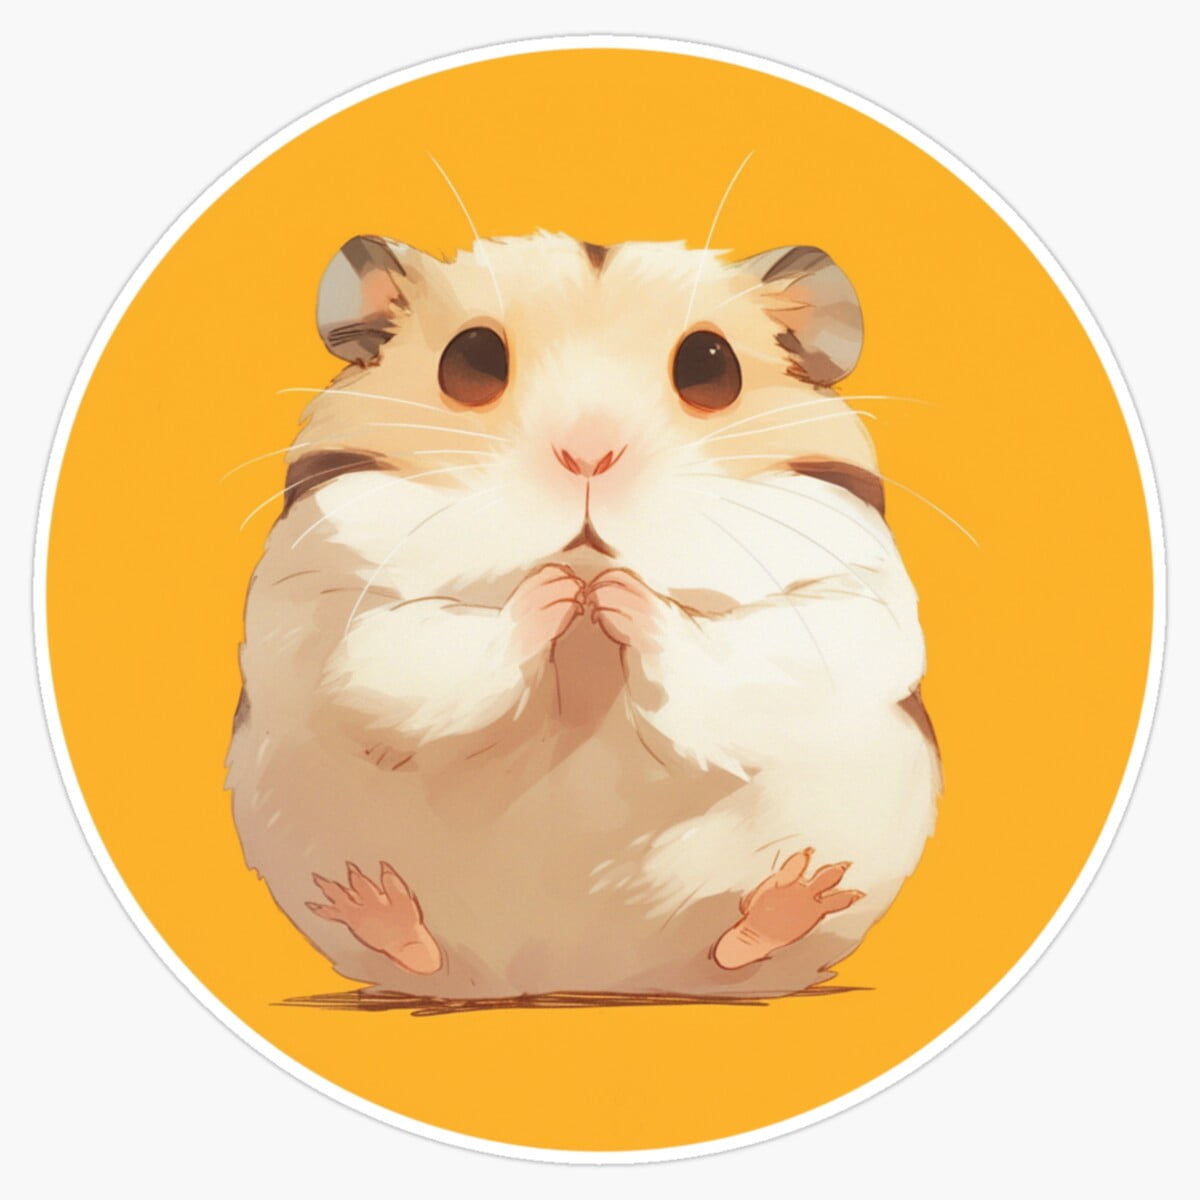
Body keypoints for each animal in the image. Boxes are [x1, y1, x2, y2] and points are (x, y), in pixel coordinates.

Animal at [226, 231, 940, 999]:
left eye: (708, 366)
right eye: (472, 360)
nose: (589, 455)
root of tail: (585, 973)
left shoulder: (844, 589)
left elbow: (761, 649)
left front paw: (619, 592)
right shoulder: (331, 583)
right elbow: (400, 646)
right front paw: (559, 588)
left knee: (735, 951)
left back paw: (793, 899)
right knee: (421, 954)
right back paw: (377, 908)